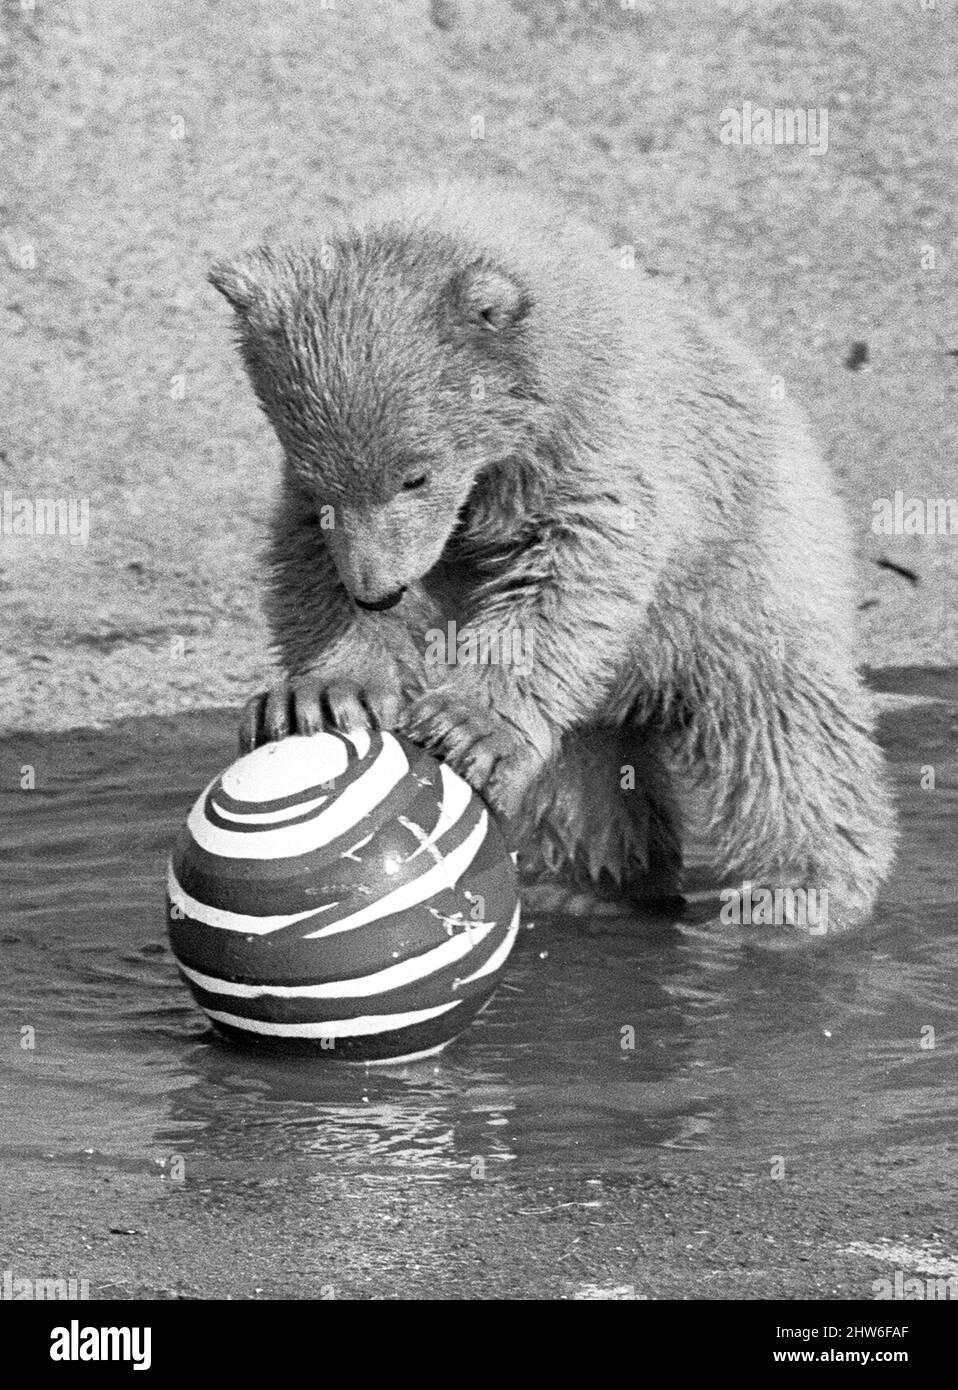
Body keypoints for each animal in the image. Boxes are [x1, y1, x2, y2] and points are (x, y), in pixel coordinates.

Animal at [208, 179, 898, 936]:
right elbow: (306, 562)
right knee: (582, 783)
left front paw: (464, 725)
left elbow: (575, 570)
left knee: (779, 727)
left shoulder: (596, 440)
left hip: (749, 561)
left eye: (415, 475)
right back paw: (581, 885)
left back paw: (795, 893)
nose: (377, 591)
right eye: (317, 472)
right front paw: (321, 695)